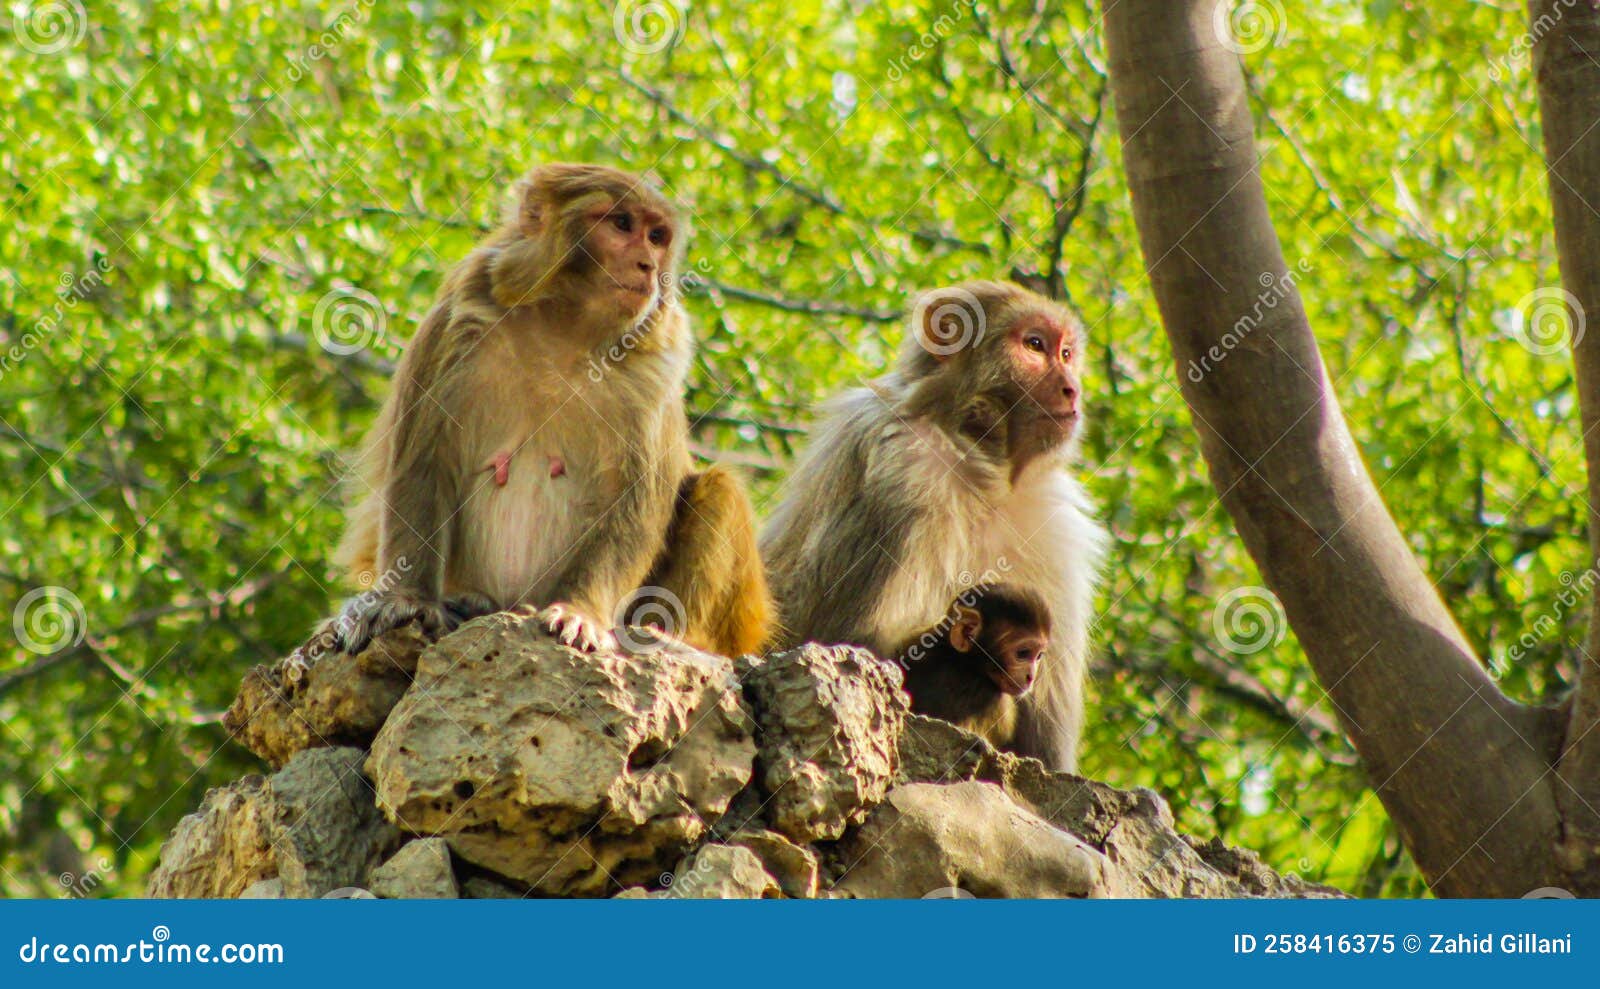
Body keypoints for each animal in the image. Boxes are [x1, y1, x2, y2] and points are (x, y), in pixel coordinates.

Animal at [329, 162, 771, 658]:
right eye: (622, 225)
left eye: (656, 236)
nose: (649, 265)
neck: (565, 328)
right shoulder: (456, 320)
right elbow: (424, 462)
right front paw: (406, 598)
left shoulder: (656, 365)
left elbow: (634, 500)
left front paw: (582, 611)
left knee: (720, 489)